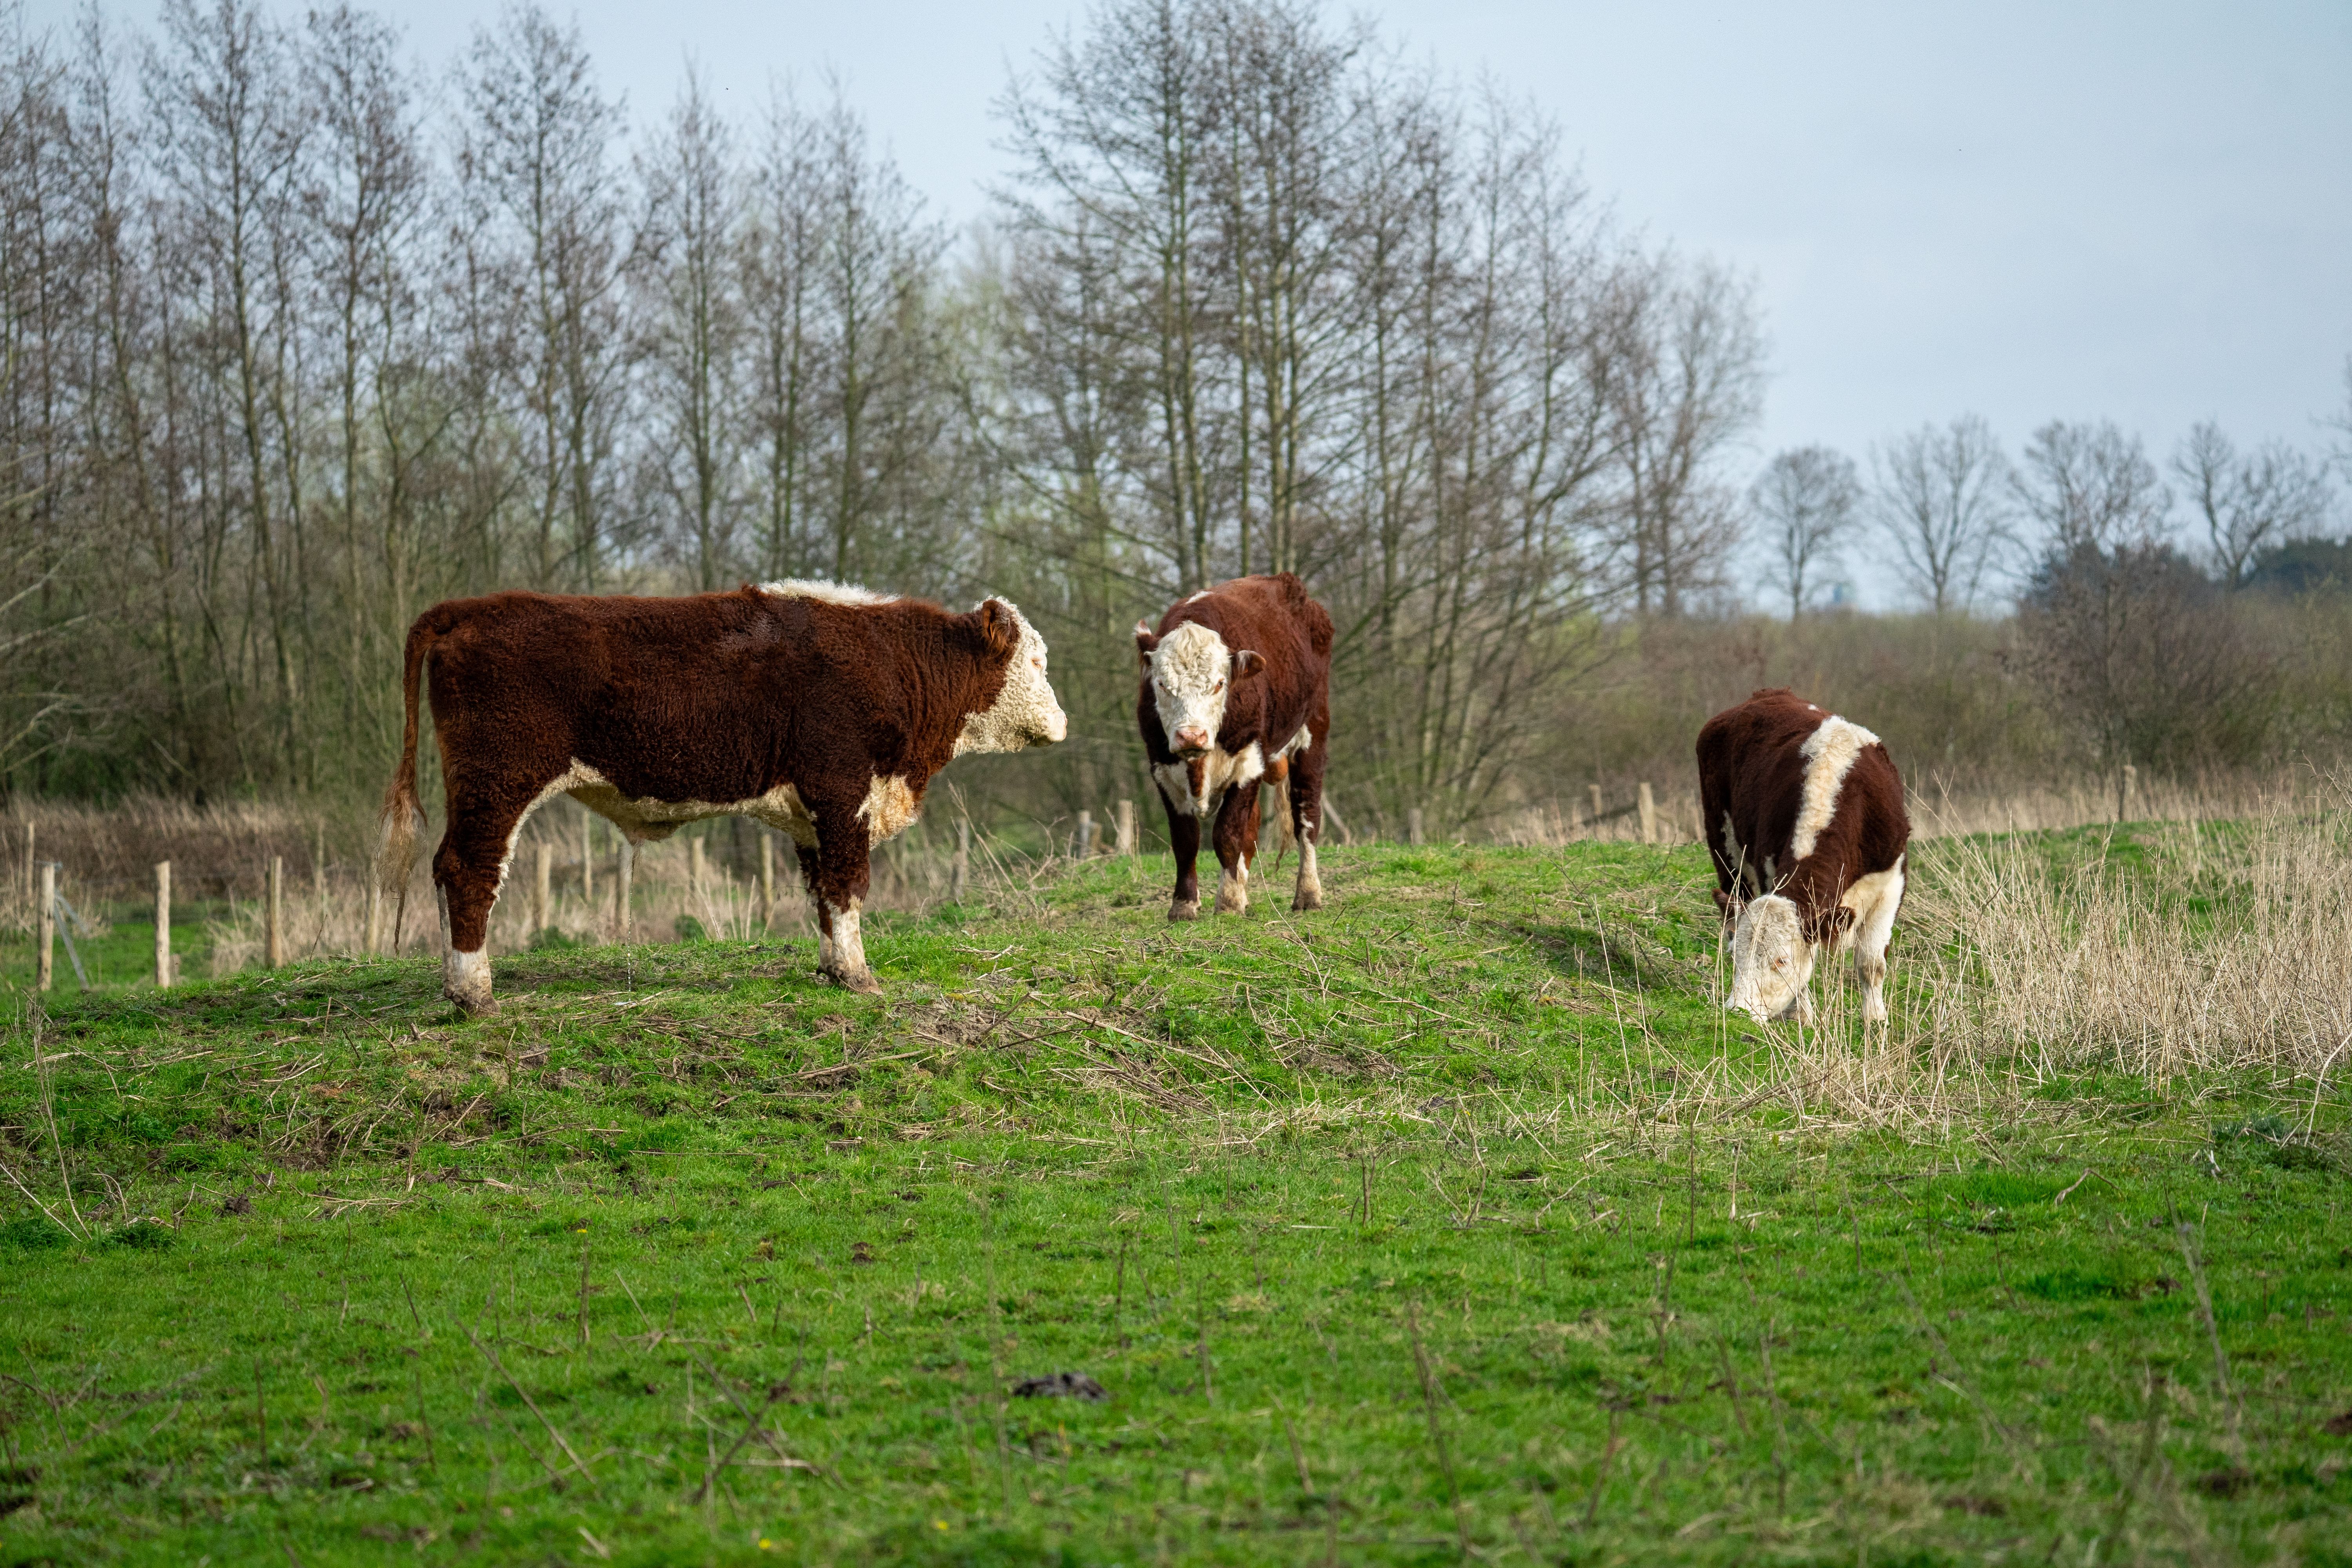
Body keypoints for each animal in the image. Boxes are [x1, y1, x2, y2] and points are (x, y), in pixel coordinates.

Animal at [374, 581, 1067, 1014]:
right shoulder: (843, 791)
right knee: (470, 871)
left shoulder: (810, 810)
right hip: (497, 781)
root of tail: (473, 607)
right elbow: (849, 886)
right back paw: (475, 994)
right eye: (1037, 663)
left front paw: (831, 970)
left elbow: (821, 889)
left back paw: (456, 986)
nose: (1064, 722)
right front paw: (860, 976)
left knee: (447, 869)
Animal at [1135, 573, 1333, 921]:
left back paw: (1308, 894)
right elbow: (1186, 840)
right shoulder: (1161, 768)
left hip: (1313, 732)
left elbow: (1227, 835)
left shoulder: (1248, 761)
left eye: (1219, 684)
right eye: (1161, 684)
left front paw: (1227, 901)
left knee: (1307, 818)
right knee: (1252, 829)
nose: (1191, 736)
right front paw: (1184, 905)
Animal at [1698, 688, 1909, 1025]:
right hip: (1724, 844)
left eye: (1781, 961)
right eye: (1740, 959)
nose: (1739, 1011)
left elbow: (1871, 963)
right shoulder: (1769, 869)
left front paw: (1876, 1021)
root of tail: (1765, 694)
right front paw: (1802, 1018)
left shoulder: (1891, 883)